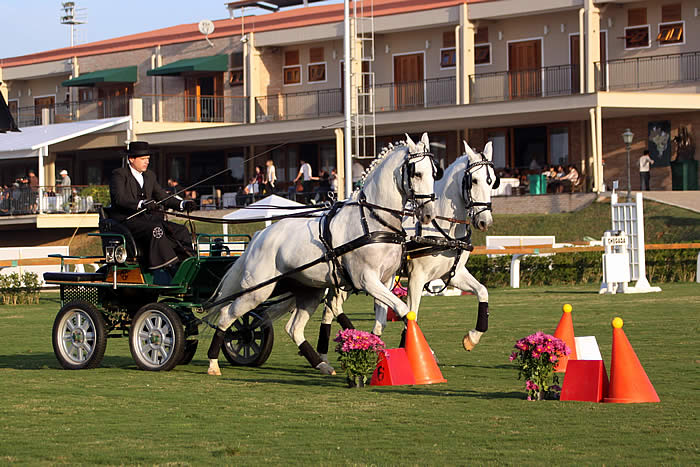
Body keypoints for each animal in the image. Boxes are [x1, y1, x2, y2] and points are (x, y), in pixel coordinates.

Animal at [205, 133, 440, 376]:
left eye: (435, 172)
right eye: (416, 173)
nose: (428, 214)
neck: (372, 221)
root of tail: (259, 236)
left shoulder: (385, 281)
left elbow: (384, 320)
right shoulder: (366, 279)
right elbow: (405, 310)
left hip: (310, 291)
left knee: (294, 328)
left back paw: (321, 364)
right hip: (257, 292)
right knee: (227, 315)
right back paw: (213, 362)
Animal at [317, 140, 498, 360]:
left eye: (493, 181)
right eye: (474, 181)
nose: (485, 221)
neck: (442, 228)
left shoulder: (452, 274)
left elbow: (482, 291)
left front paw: (472, 337)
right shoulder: (417, 276)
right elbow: (412, 312)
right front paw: (414, 349)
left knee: (330, 308)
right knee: (331, 308)